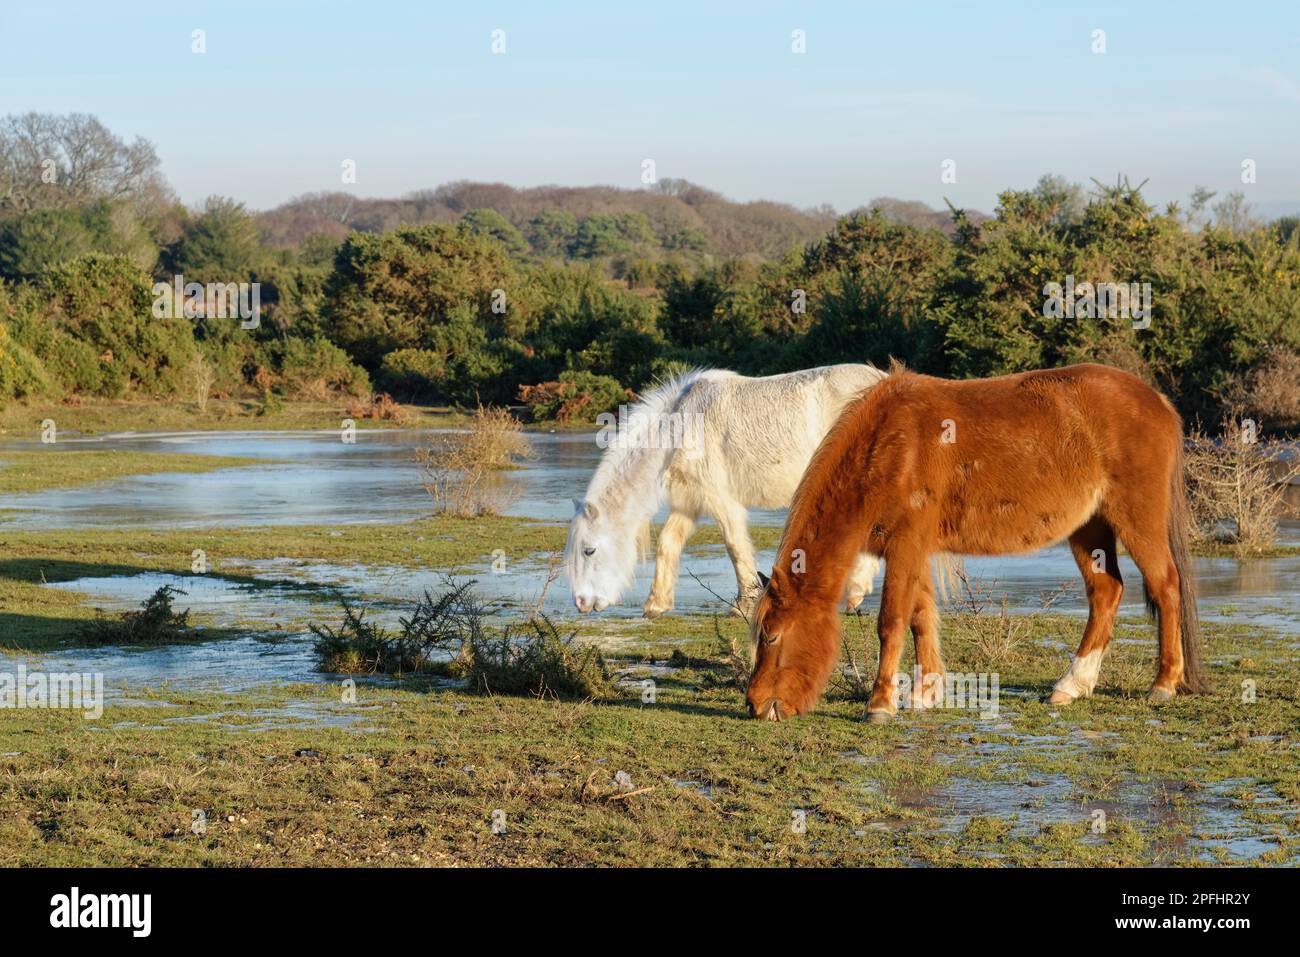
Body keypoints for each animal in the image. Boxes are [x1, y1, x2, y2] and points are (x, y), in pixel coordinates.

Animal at [567, 364, 888, 618]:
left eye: (589, 550)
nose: (581, 603)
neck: (679, 430)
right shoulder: (689, 503)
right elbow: (668, 544)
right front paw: (657, 604)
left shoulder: (721, 499)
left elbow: (735, 546)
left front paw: (744, 605)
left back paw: (854, 592)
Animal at [746, 363, 1206, 723]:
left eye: (771, 636)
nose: (754, 704)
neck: (892, 444)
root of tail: (1157, 401)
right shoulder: (914, 549)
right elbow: (920, 616)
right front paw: (925, 692)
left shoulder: (905, 545)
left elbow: (891, 621)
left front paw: (879, 704)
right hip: (1088, 528)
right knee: (1106, 592)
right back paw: (1072, 684)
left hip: (1137, 521)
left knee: (1166, 586)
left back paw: (1163, 684)